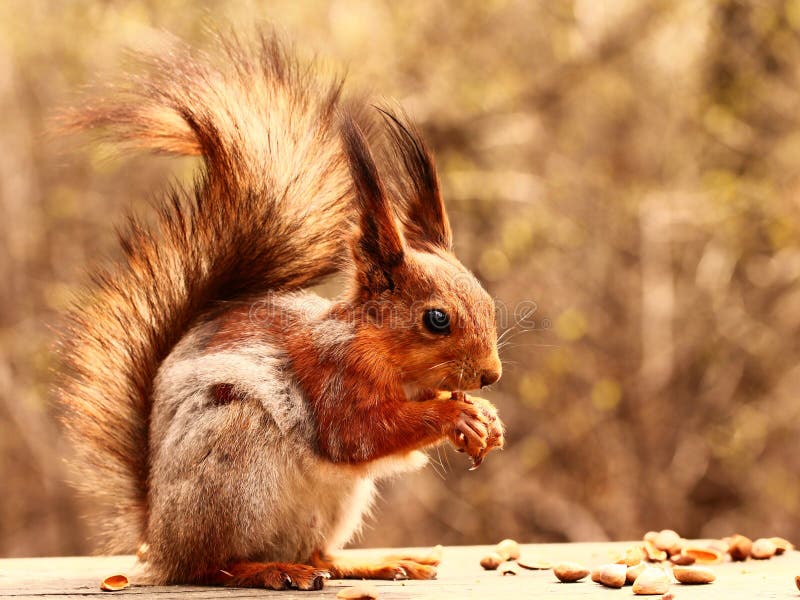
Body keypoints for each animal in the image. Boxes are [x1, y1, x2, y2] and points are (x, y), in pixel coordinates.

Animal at [58, 30, 504, 590]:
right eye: (437, 319)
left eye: (487, 301)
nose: (490, 376)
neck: (380, 351)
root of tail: (158, 537)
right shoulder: (332, 378)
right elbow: (357, 436)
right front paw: (455, 414)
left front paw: (486, 421)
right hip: (230, 459)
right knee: (210, 565)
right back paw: (269, 569)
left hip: (331, 504)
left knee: (319, 555)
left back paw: (376, 562)